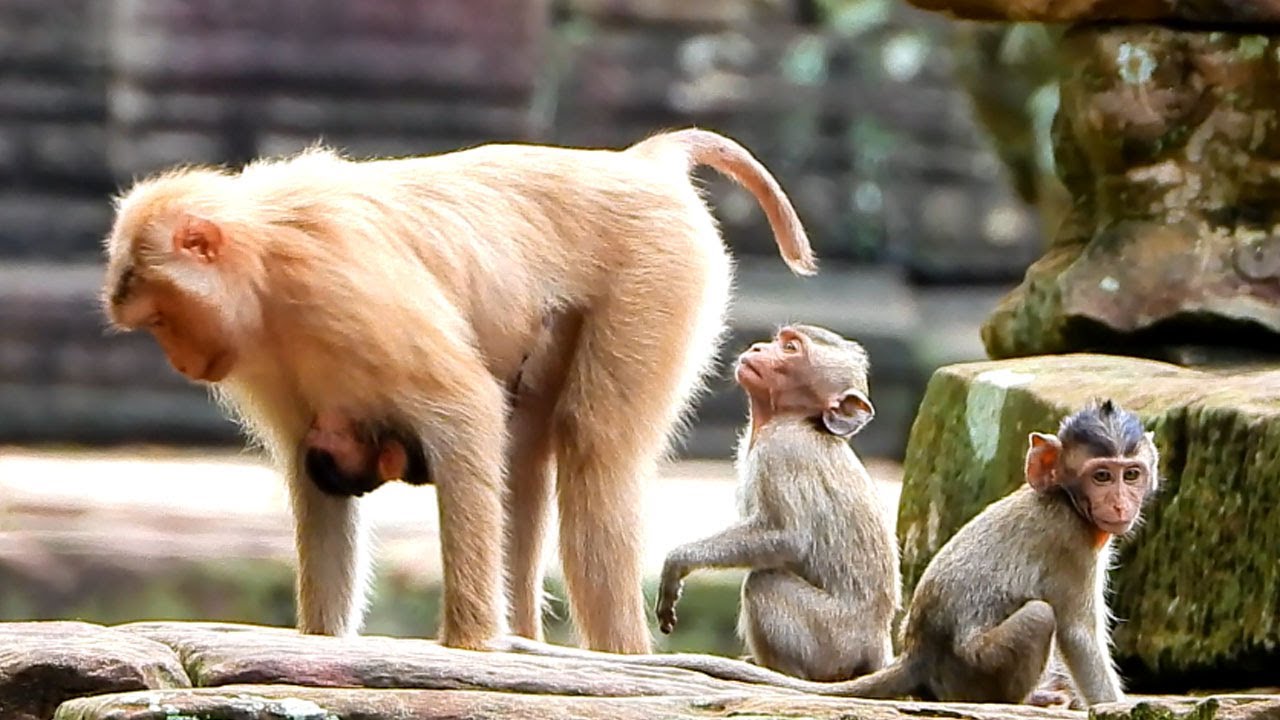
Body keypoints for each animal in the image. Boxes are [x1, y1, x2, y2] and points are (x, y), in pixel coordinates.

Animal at [653, 324, 901, 682]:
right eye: (778, 340)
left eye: (791, 348)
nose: (757, 348)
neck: (798, 419)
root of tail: (876, 643)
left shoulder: (782, 451)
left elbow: (788, 537)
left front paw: (678, 561)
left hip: (833, 640)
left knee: (764, 583)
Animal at [816, 399, 1159, 706]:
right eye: (1102, 476)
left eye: (1131, 475)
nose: (1120, 504)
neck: (1065, 499)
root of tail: (917, 655)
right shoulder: (1070, 543)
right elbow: (1078, 636)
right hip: (977, 668)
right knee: (1039, 614)